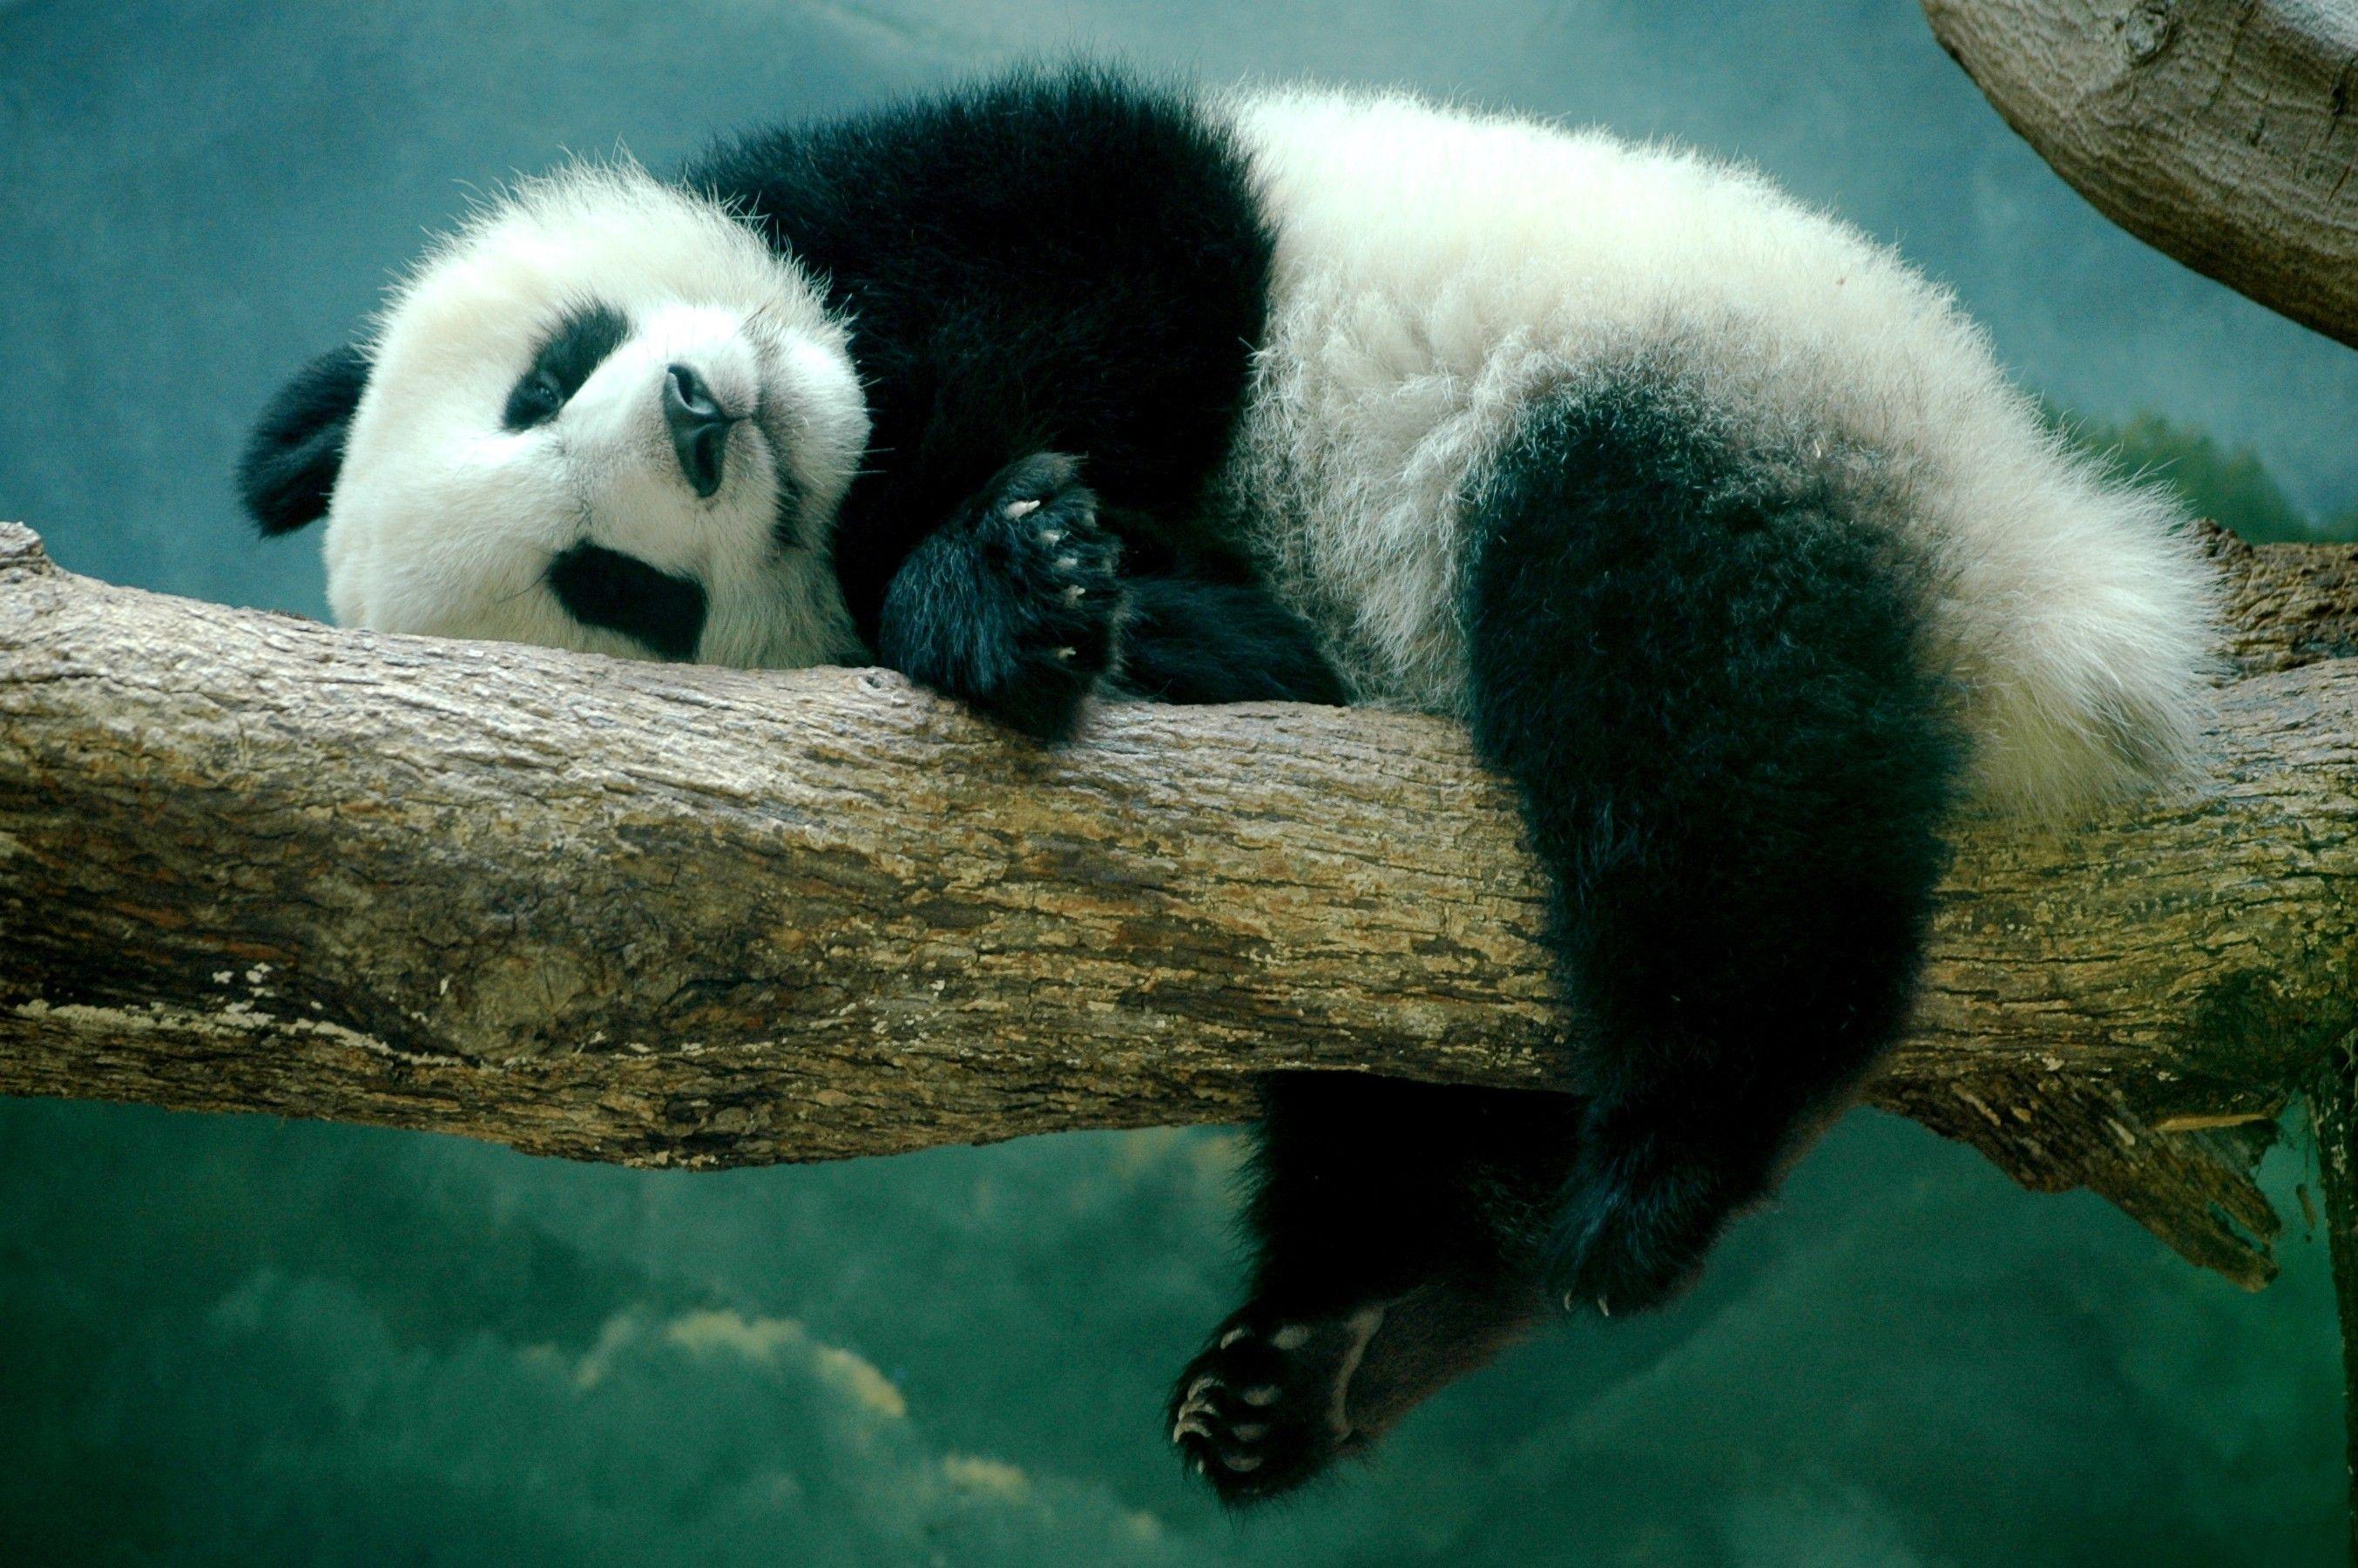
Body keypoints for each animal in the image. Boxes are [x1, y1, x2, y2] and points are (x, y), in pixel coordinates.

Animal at [238, 65, 2213, 1501]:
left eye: (548, 370)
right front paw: (1062, 593)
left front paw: (999, 554)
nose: (703, 420)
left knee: (1702, 720)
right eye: (611, 589)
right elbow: (1251, 665)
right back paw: (1350, 1341)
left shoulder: (1012, 187)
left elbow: (1113, 255)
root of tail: (2035, 579)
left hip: (1713, 385)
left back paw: (1654, 1167)